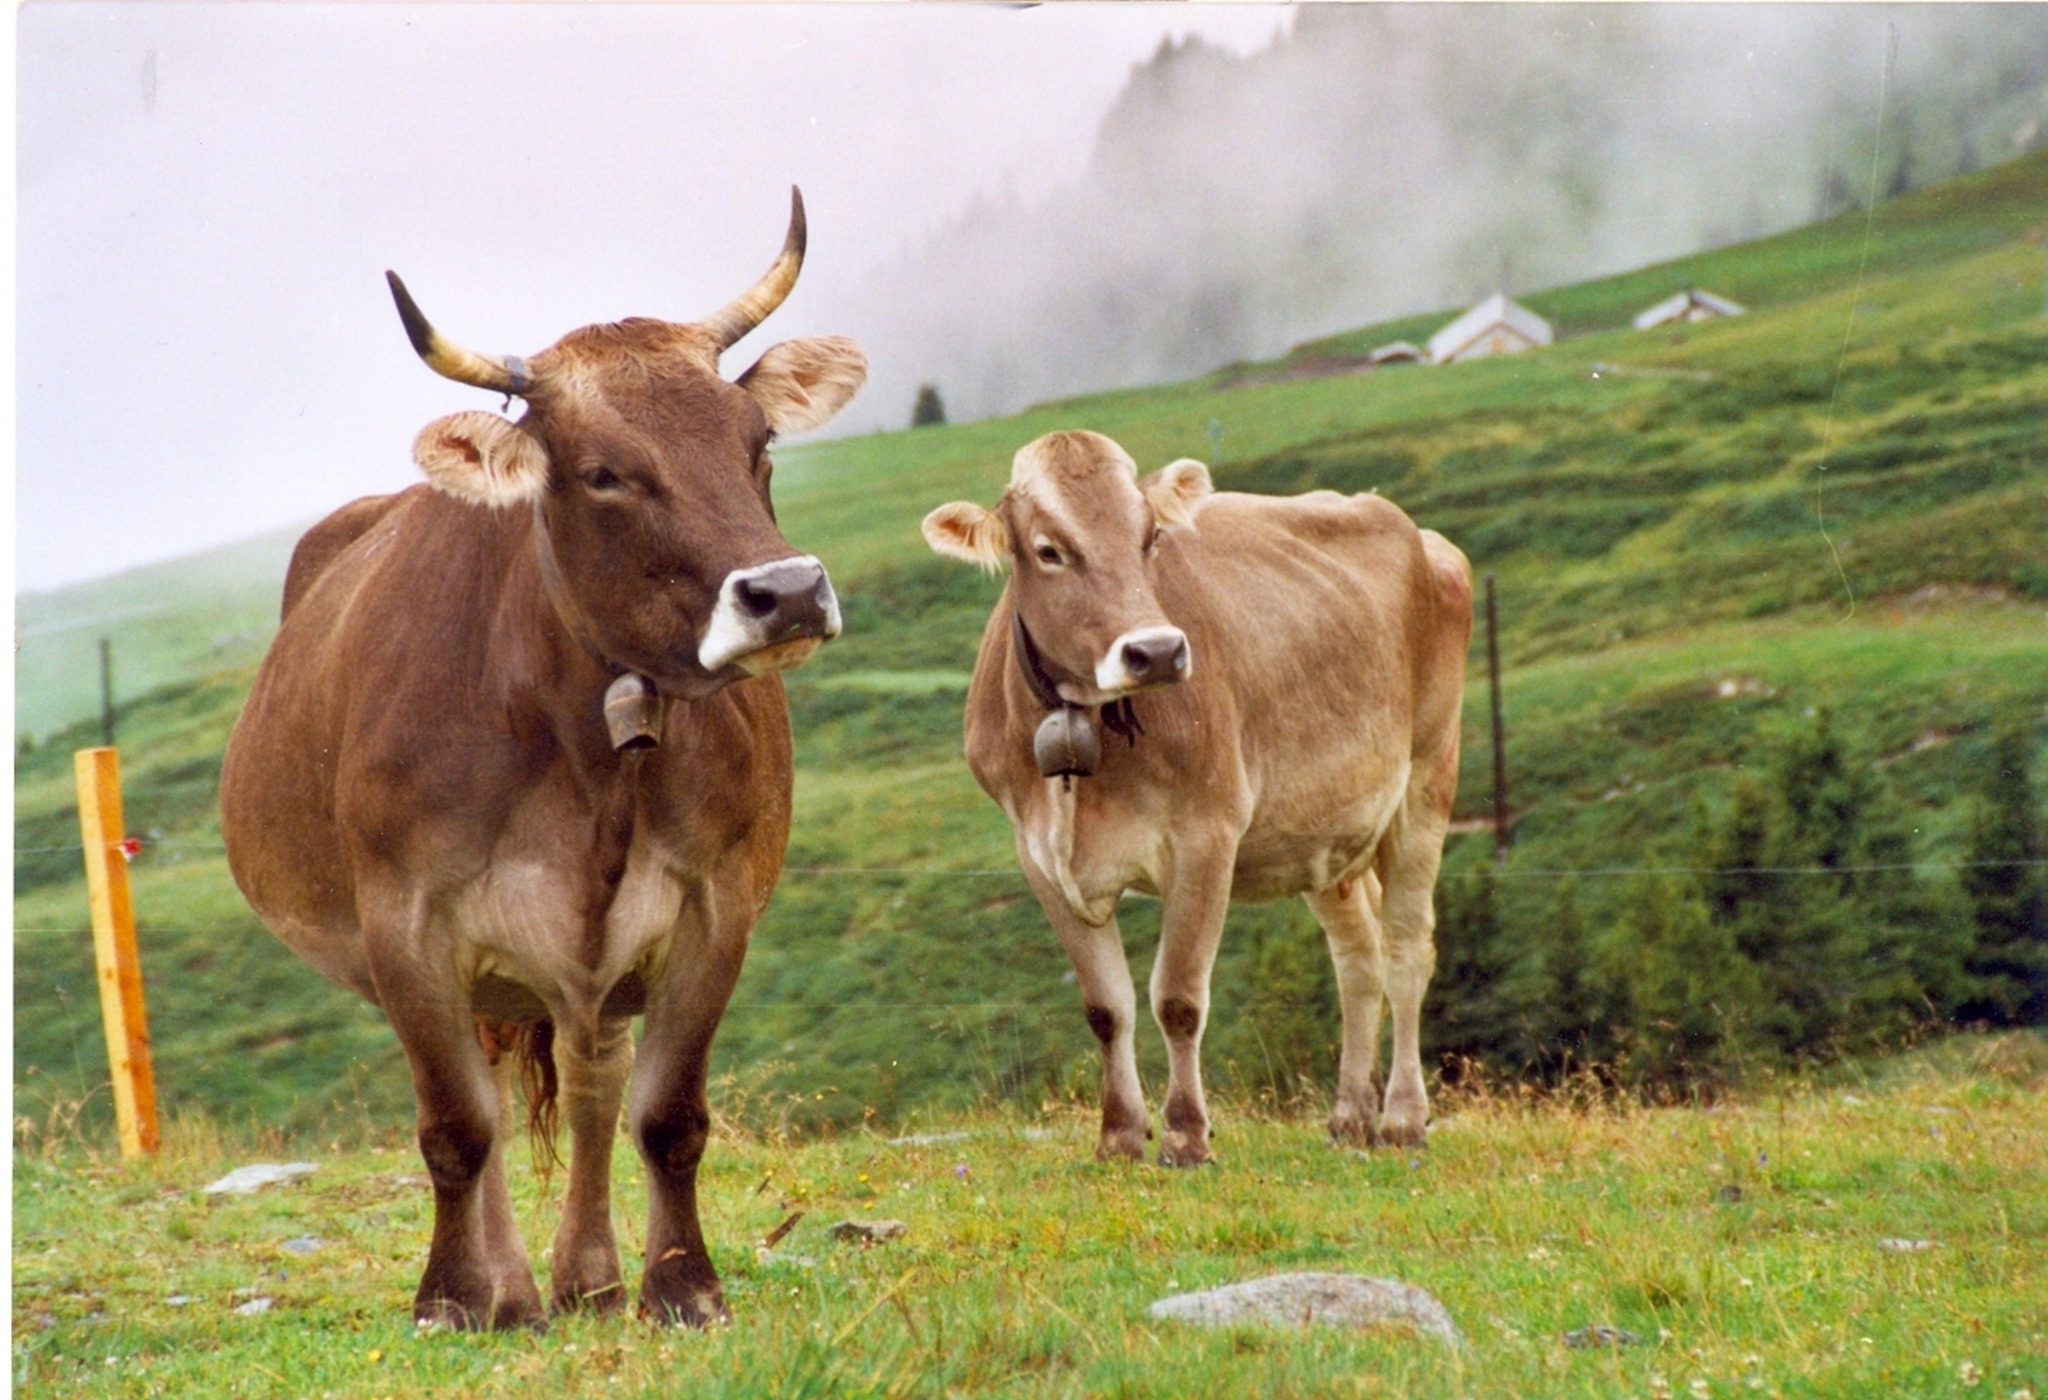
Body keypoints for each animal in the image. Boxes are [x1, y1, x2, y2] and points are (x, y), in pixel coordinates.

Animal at [219, 190, 866, 1329]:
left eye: (757, 441)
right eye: (603, 474)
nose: (786, 592)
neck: (586, 756)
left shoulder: (713, 906)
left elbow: (668, 1115)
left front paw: (682, 1283)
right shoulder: (406, 924)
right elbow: (456, 1126)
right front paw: (451, 1295)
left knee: (597, 1081)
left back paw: (588, 1274)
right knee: (484, 1097)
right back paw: (516, 1287)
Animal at [921, 430, 1470, 1166]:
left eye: (1150, 536)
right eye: (1048, 550)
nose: (1155, 652)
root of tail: (1418, 533)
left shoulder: (1206, 837)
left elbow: (1178, 998)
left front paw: (1185, 1135)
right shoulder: (1037, 856)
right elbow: (1106, 1008)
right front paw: (1120, 1135)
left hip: (1425, 778)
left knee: (1408, 948)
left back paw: (1403, 1117)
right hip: (1326, 836)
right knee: (1360, 957)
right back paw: (1349, 1115)